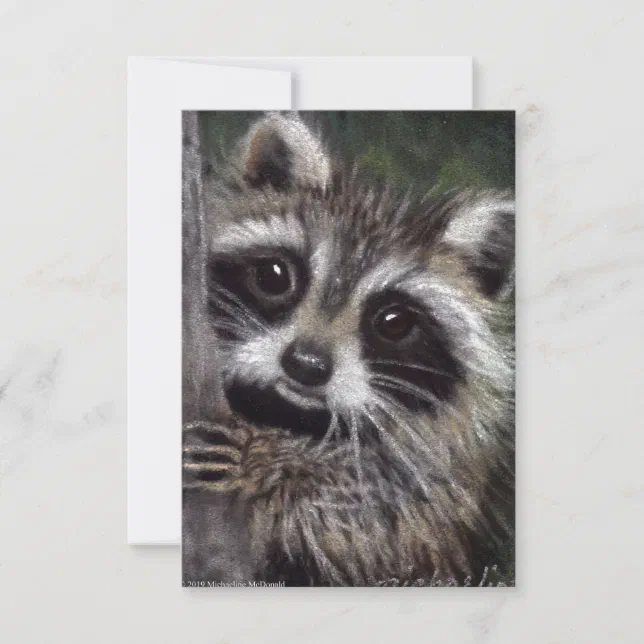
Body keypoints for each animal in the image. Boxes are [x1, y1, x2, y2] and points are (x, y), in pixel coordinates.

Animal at [182, 113, 515, 586]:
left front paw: (274, 464)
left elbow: (375, 521)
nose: (305, 366)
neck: (288, 414)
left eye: (393, 322)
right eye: (273, 277)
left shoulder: (437, 489)